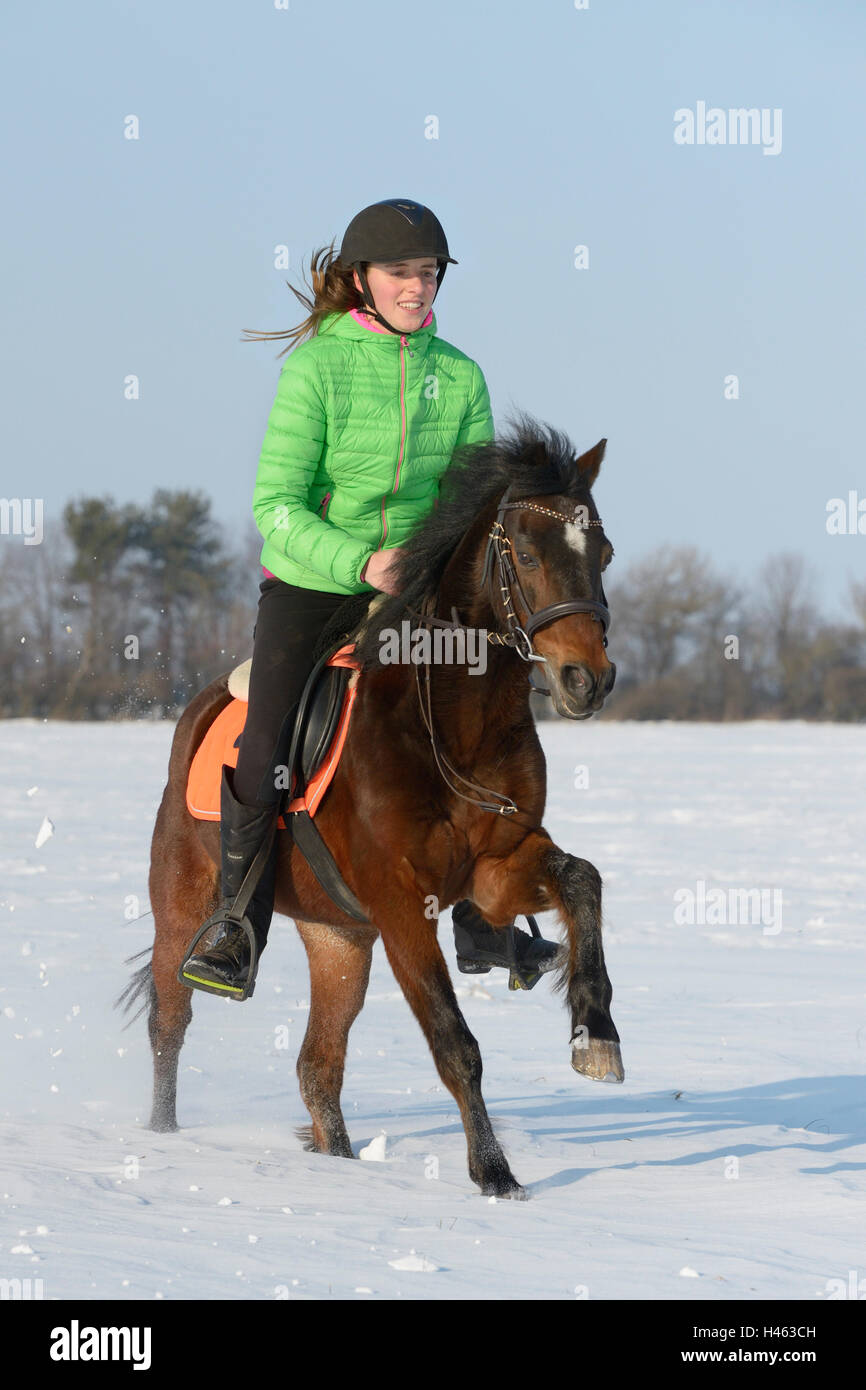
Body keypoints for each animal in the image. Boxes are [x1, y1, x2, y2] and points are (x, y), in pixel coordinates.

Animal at [118, 413, 622, 1198]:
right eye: (529, 553)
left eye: (602, 552)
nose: (586, 680)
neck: (451, 721)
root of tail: (197, 711)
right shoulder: (400, 902)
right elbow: (455, 1042)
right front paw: (495, 1174)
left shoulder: (495, 868)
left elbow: (582, 878)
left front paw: (595, 1033)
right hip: (183, 909)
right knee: (170, 1026)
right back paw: (165, 1139)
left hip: (340, 939)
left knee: (317, 1066)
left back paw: (339, 1160)